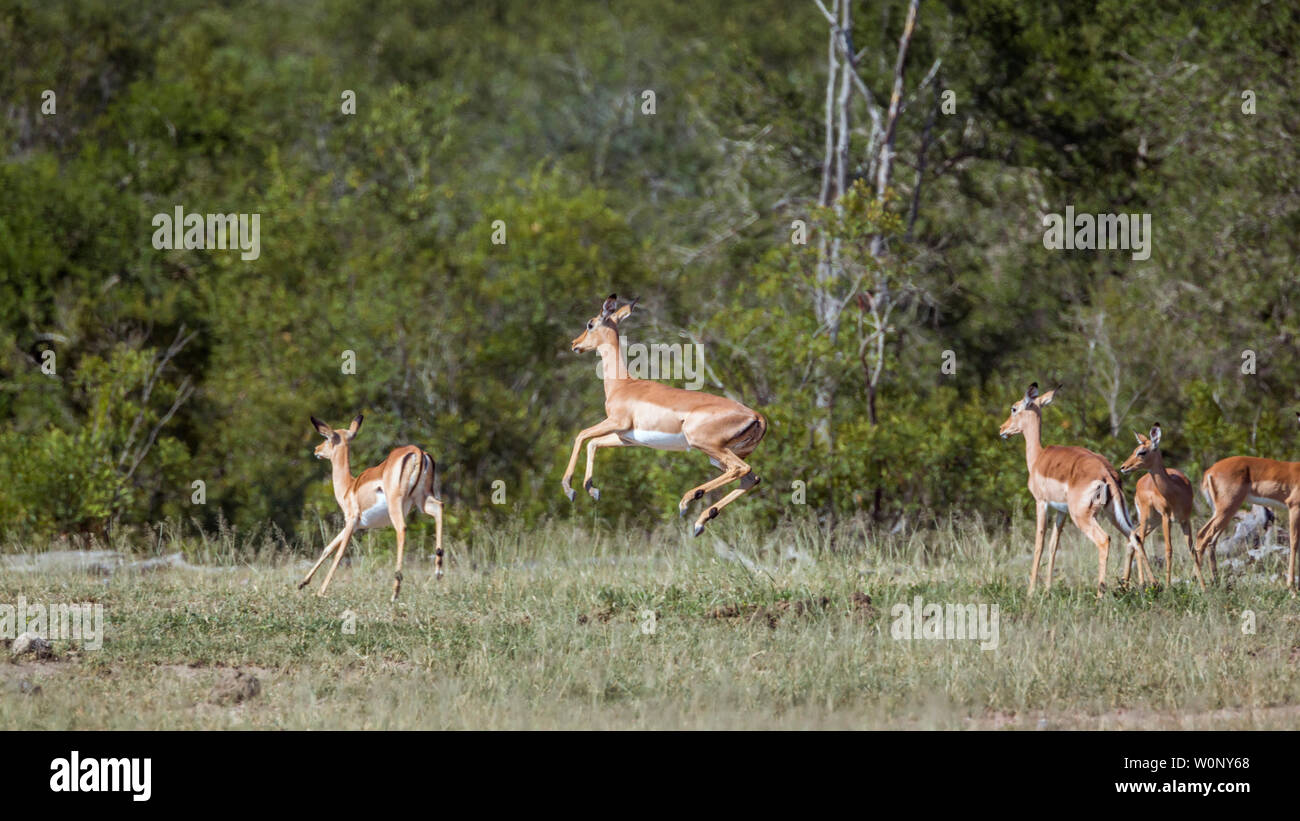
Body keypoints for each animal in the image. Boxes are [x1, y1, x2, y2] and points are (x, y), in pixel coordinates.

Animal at [299, 415, 444, 600]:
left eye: (327, 438)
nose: (316, 449)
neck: (349, 487)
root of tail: (418, 452)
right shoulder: (355, 525)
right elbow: (328, 548)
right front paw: (302, 583)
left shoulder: (351, 521)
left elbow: (339, 553)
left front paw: (320, 592)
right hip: (422, 500)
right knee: (439, 508)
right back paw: (438, 571)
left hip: (396, 504)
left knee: (401, 529)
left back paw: (395, 591)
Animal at [562, 294, 767, 536]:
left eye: (590, 324)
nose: (574, 344)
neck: (622, 385)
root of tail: (757, 416)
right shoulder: (627, 438)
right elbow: (593, 443)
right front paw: (592, 490)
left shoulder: (615, 422)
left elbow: (581, 436)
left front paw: (570, 489)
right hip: (718, 456)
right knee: (750, 478)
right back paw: (699, 522)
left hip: (705, 445)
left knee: (741, 469)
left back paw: (687, 501)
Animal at [998, 382, 1155, 596]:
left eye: (1014, 408)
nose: (1002, 429)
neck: (1038, 458)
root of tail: (1106, 473)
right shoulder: (1061, 511)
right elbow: (1053, 545)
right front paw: (1047, 589)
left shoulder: (1041, 503)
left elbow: (1039, 544)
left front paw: (1031, 592)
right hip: (1113, 514)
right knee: (1135, 536)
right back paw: (1151, 585)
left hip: (1083, 516)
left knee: (1105, 540)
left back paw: (1100, 594)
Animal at [1117, 423, 1205, 589]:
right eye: (1134, 450)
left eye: (1142, 452)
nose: (1123, 467)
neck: (1176, 490)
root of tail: (1140, 482)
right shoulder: (1166, 518)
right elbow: (1168, 550)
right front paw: (1169, 586)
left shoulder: (1185, 520)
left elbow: (1192, 550)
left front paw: (1204, 588)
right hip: (1147, 517)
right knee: (1140, 541)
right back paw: (1146, 582)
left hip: (1153, 521)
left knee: (1133, 538)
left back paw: (1125, 584)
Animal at [1195, 412, 1300, 590]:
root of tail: (1209, 471)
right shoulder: (1294, 507)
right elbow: (1294, 543)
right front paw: (1291, 588)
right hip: (1226, 509)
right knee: (1202, 537)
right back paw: (1203, 587)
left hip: (1223, 512)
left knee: (1211, 541)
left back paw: (1215, 582)